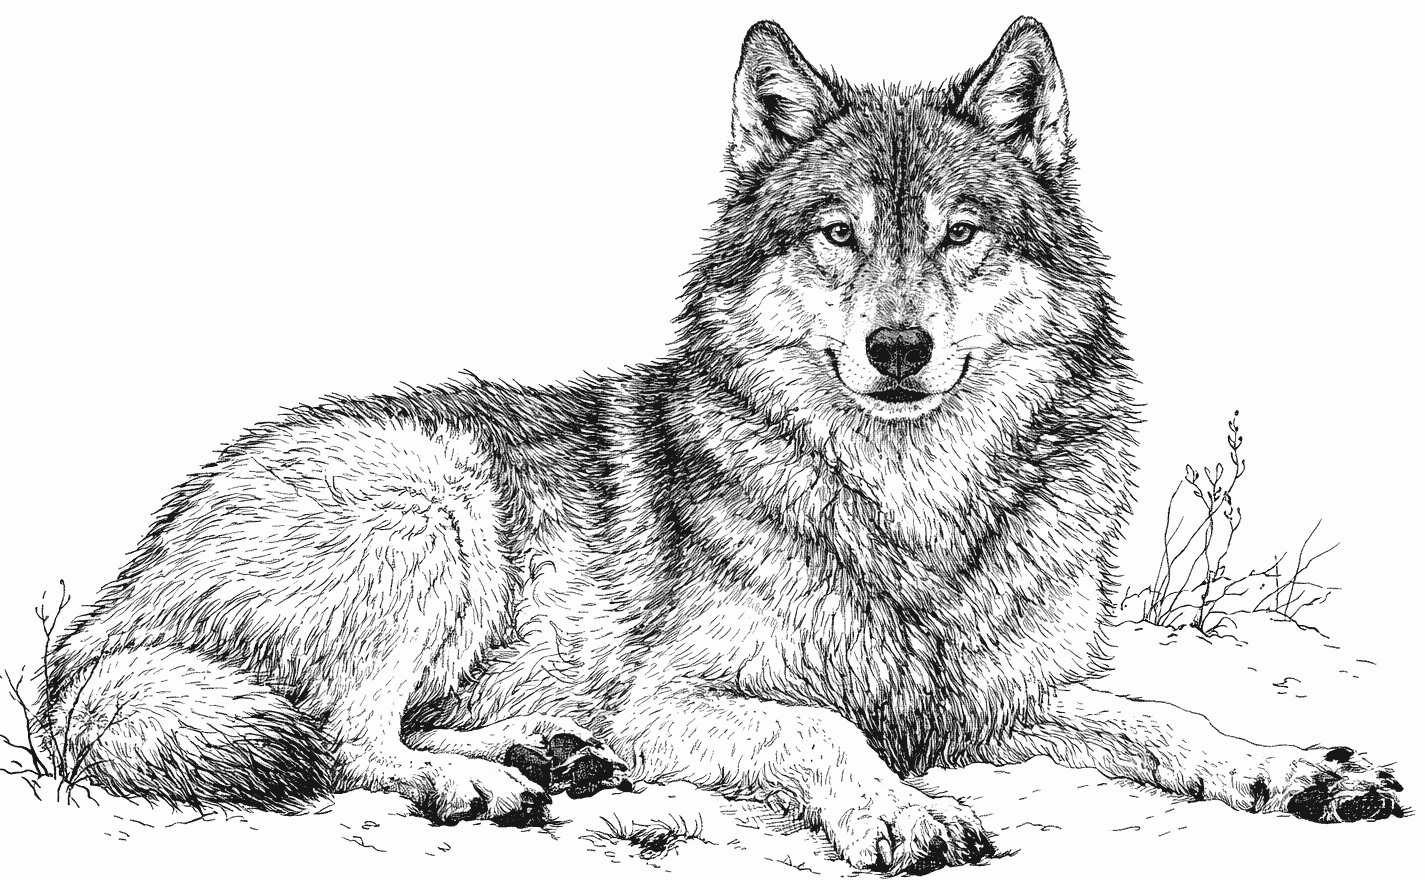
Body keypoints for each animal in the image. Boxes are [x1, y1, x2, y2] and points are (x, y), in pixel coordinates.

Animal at [46, 16, 1403, 873]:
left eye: (960, 232)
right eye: (836, 233)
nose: (898, 348)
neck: (913, 511)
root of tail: (104, 615)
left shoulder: (1004, 701)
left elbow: (1176, 721)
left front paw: (1299, 771)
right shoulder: (681, 699)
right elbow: (827, 730)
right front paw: (900, 815)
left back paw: (547, 753)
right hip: (431, 496)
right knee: (338, 734)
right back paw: (484, 781)